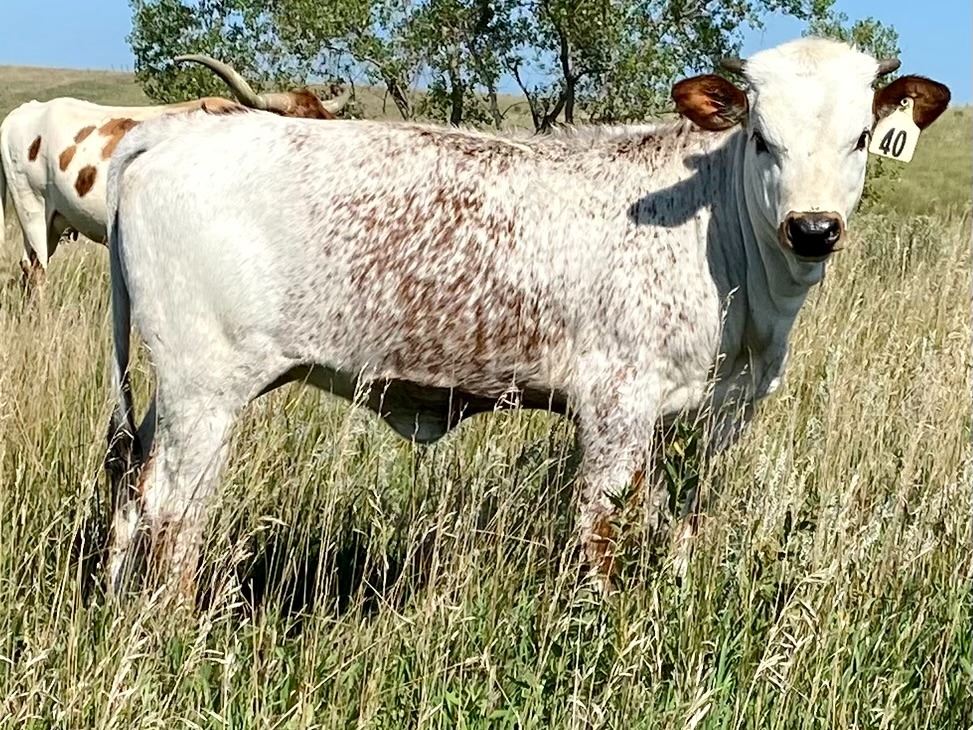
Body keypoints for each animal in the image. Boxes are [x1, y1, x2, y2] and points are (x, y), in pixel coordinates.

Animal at [102, 38, 950, 597]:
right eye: (762, 137)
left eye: (860, 137)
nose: (812, 228)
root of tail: (169, 133)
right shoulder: (615, 404)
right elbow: (600, 530)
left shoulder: (714, 415)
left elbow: (682, 522)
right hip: (205, 387)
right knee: (172, 516)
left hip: (170, 392)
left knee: (130, 488)